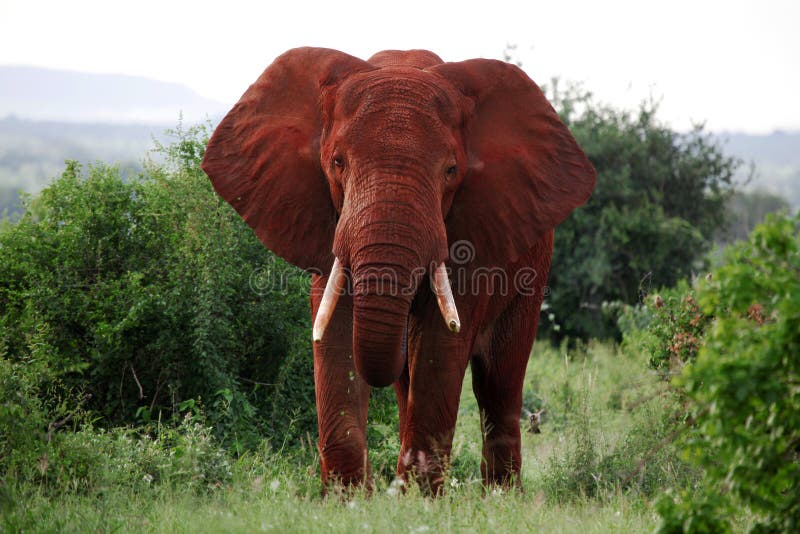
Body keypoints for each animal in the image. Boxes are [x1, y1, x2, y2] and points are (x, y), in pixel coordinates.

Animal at [201, 47, 596, 493]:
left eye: (451, 171)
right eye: (337, 162)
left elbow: (441, 344)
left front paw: (417, 499)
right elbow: (335, 331)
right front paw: (349, 498)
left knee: (499, 381)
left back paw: (500, 495)